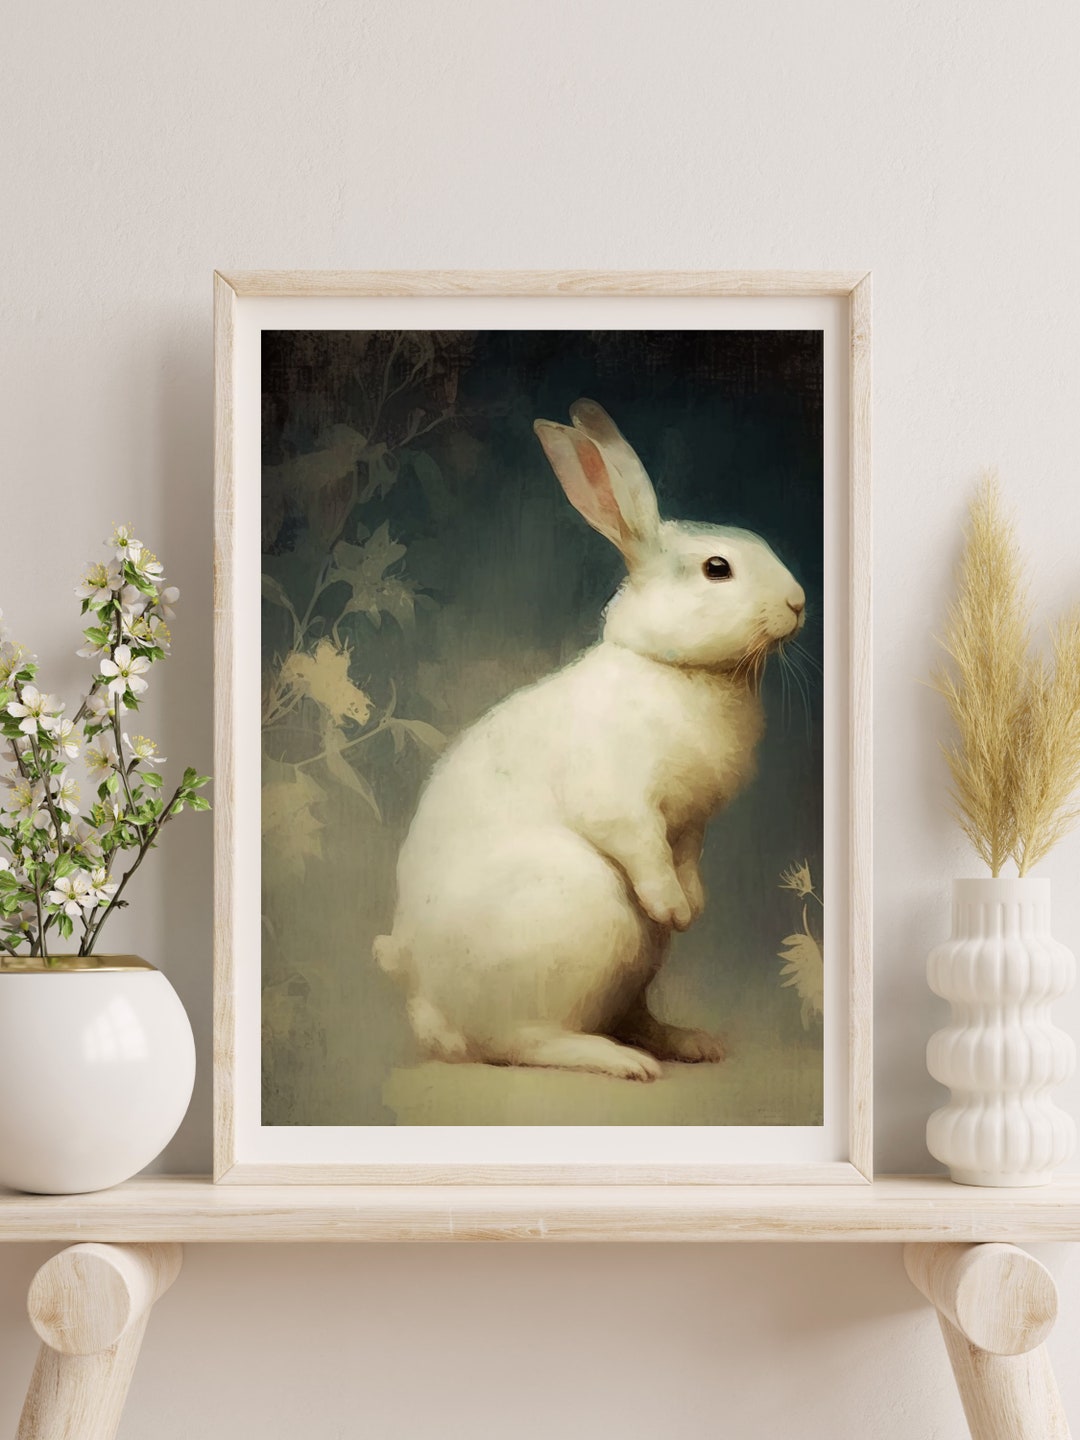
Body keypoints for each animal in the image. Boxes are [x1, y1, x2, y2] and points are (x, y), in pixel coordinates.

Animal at [373, 399, 806, 1082]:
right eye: (718, 569)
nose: (799, 602)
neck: (673, 667)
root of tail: (426, 1001)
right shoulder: (623, 804)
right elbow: (644, 849)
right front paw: (673, 907)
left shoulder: (691, 821)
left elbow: (686, 856)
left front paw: (693, 907)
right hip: (576, 919)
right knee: (522, 1042)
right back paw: (622, 1063)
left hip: (634, 969)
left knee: (627, 1016)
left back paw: (690, 1043)